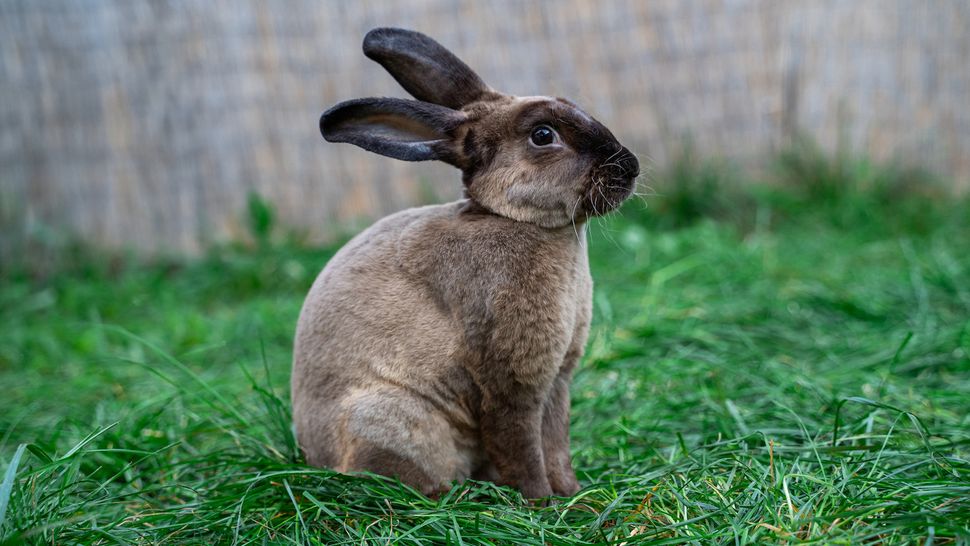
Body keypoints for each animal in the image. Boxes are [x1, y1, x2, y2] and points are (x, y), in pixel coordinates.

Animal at [292, 27, 639, 499]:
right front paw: (542, 502)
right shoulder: (510, 383)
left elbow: (556, 445)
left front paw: (573, 496)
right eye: (543, 135)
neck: (512, 218)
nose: (630, 167)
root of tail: (318, 455)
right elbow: (522, 447)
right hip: (387, 420)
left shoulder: (556, 384)